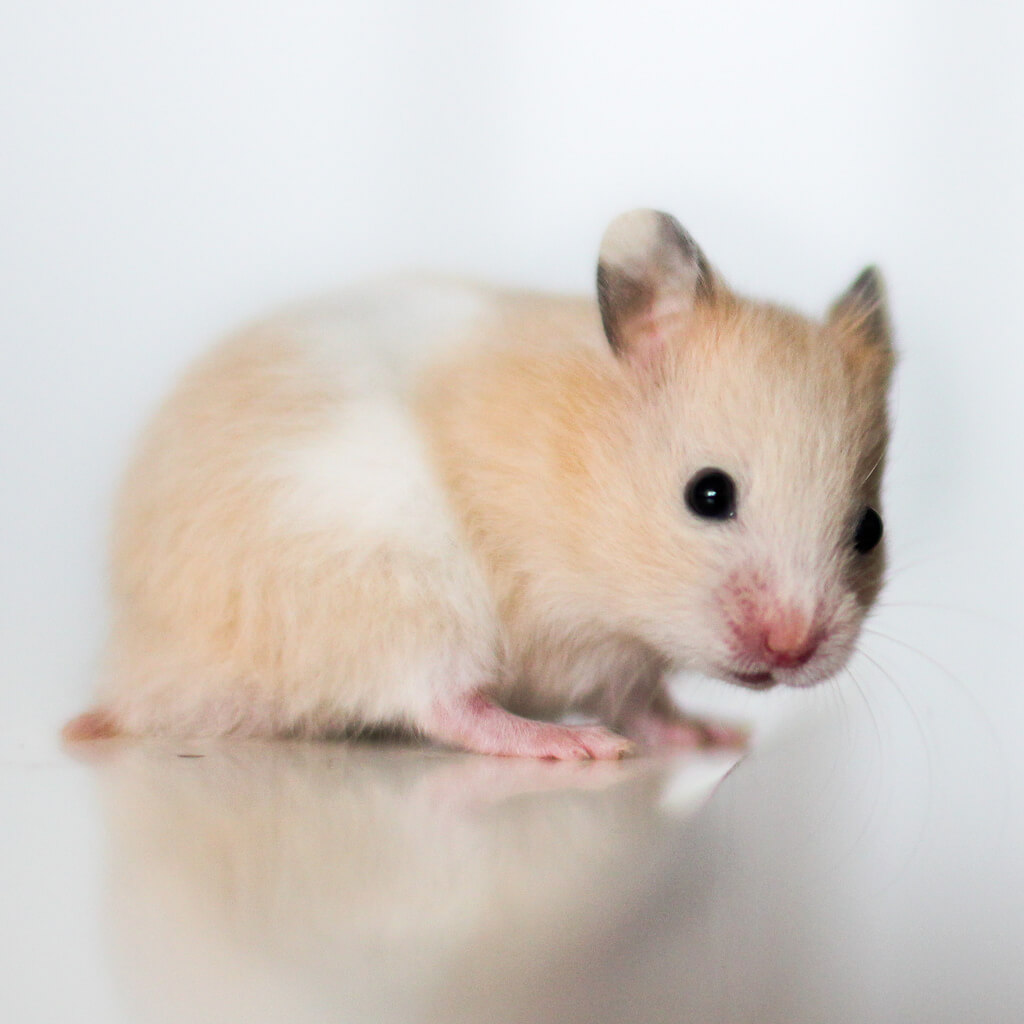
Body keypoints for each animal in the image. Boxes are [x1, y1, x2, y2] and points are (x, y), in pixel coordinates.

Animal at [64, 210, 894, 759]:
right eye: (708, 494)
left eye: (870, 529)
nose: (793, 648)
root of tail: (141, 669)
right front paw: (624, 740)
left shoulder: (622, 661)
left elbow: (649, 699)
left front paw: (714, 734)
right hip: (393, 585)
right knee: (442, 703)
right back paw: (571, 746)